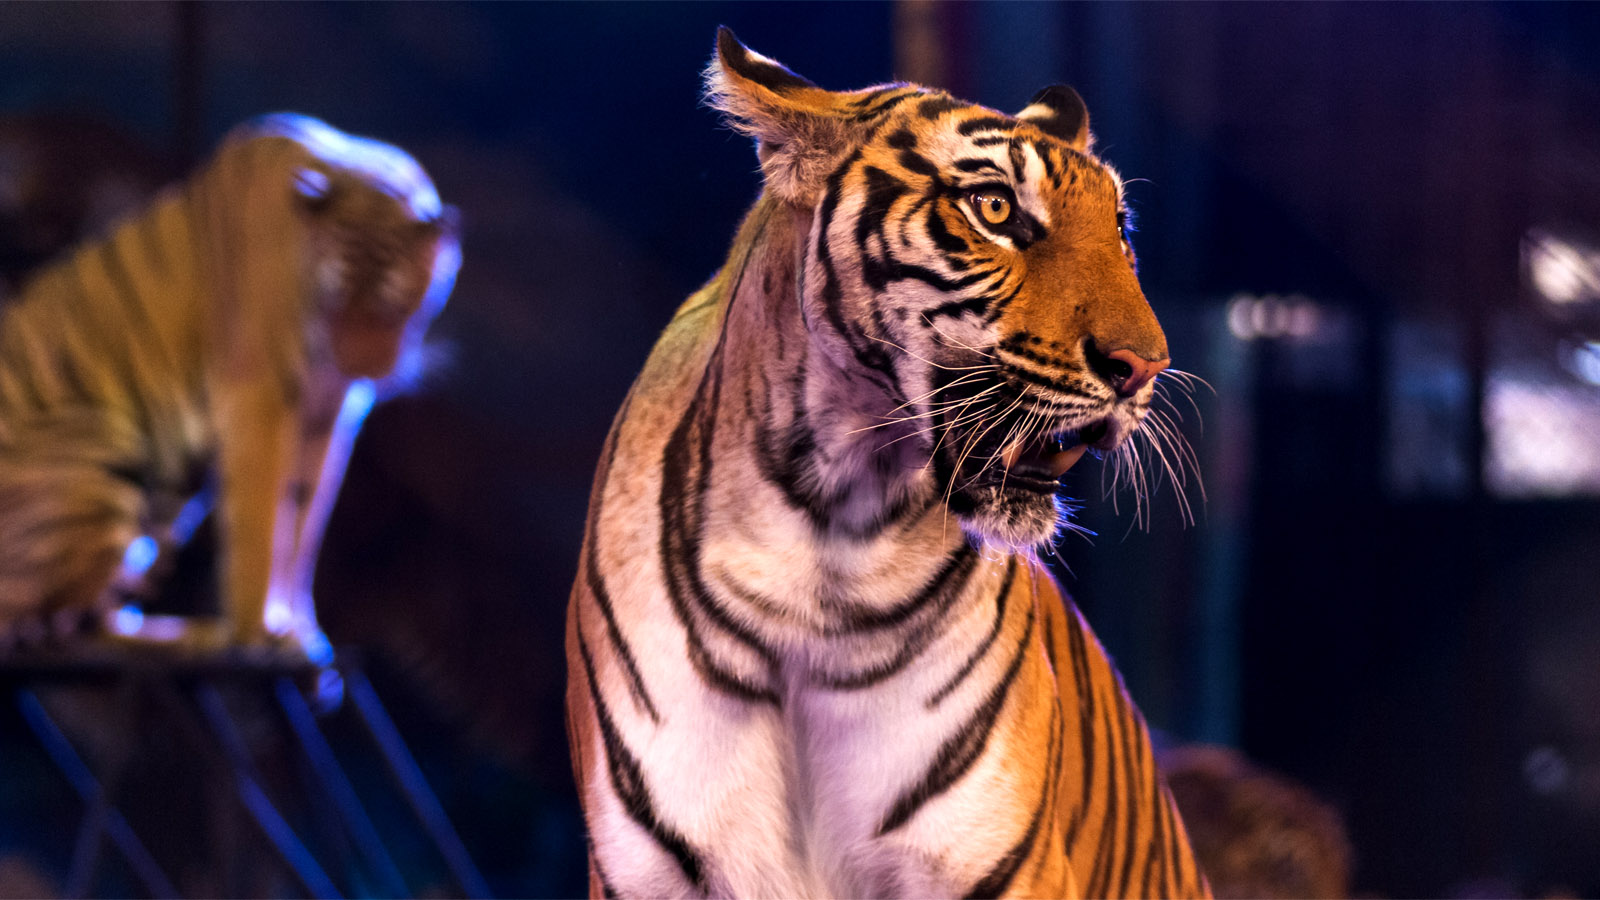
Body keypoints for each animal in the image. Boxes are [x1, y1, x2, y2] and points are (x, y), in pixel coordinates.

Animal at [0, 113, 459, 660]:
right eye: (333, 301)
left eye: (393, 303)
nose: (362, 368)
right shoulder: (259, 392)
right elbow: (261, 521)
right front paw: (258, 633)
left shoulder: (329, 410)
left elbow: (305, 520)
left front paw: (300, 630)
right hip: (100, 462)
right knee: (48, 627)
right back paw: (200, 637)